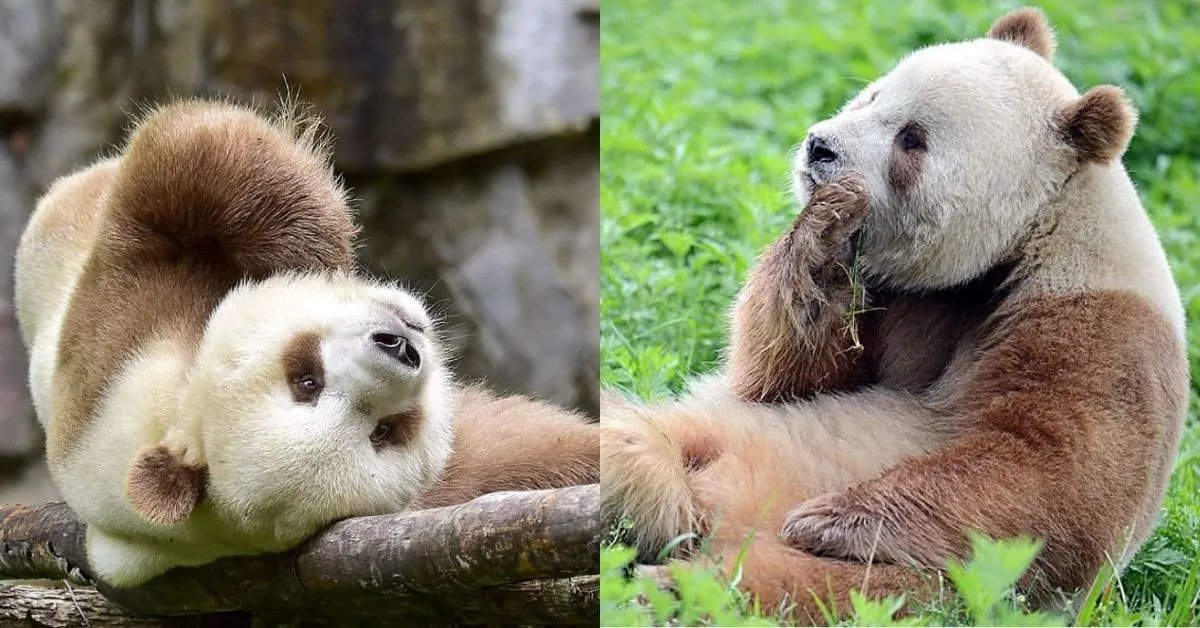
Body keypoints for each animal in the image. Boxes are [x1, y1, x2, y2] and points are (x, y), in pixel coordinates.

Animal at [601, 7, 1186, 621]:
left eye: (912, 140)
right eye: (874, 94)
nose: (820, 147)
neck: (1019, 243)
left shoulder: (1101, 330)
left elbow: (1052, 475)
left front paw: (829, 519)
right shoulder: (900, 299)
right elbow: (780, 379)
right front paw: (826, 226)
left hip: (926, 588)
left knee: (801, 588)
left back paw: (664, 587)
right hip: (698, 430)